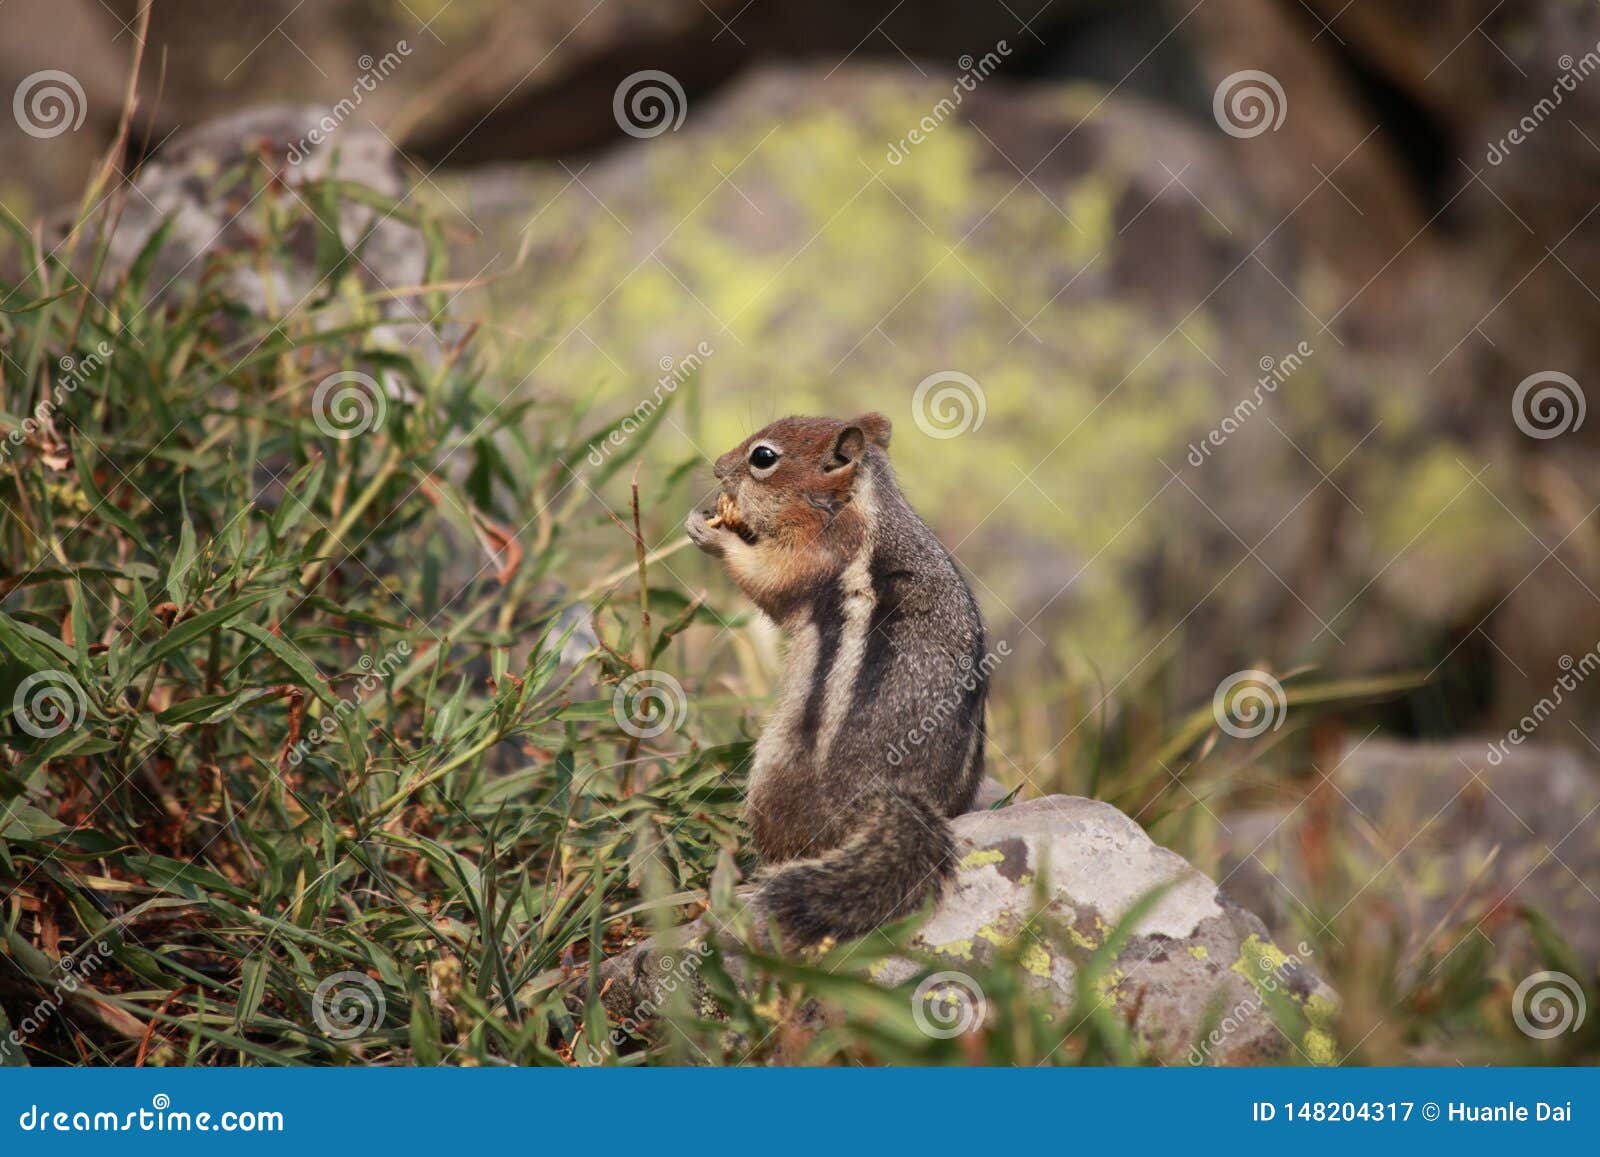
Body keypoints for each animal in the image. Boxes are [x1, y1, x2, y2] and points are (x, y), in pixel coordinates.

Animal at [686, 412, 989, 947]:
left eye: (763, 457)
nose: (718, 466)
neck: (861, 503)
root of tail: (880, 798)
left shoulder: (817, 552)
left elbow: (766, 579)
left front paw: (711, 533)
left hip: (771, 773)